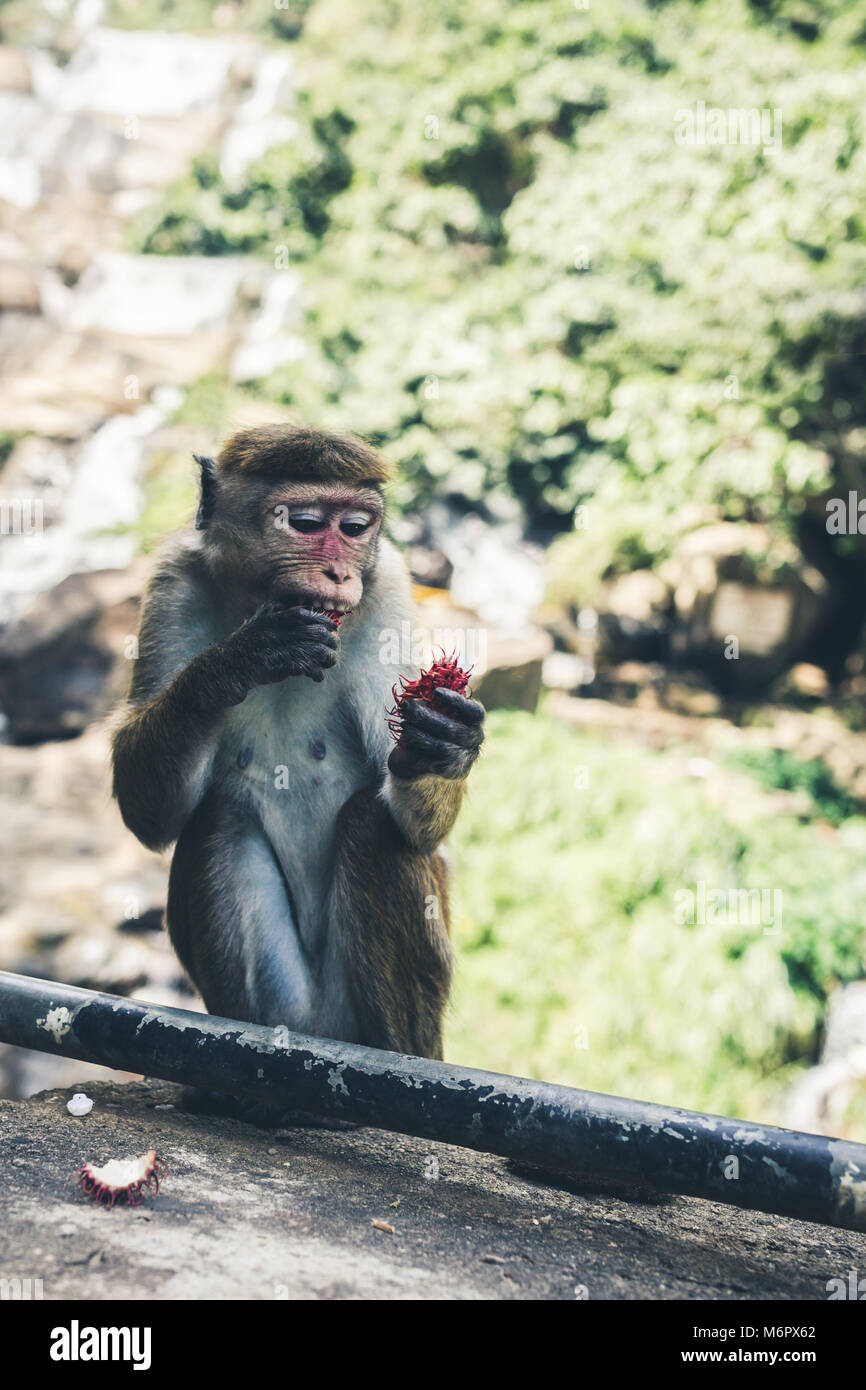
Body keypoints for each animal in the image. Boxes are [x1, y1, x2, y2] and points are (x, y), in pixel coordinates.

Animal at [111, 425, 484, 1063]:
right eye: (306, 523)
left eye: (355, 528)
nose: (338, 573)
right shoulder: (173, 580)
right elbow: (151, 815)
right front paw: (235, 662)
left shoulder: (387, 591)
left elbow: (417, 826)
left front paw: (446, 742)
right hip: (286, 1004)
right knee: (218, 820)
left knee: (372, 823)